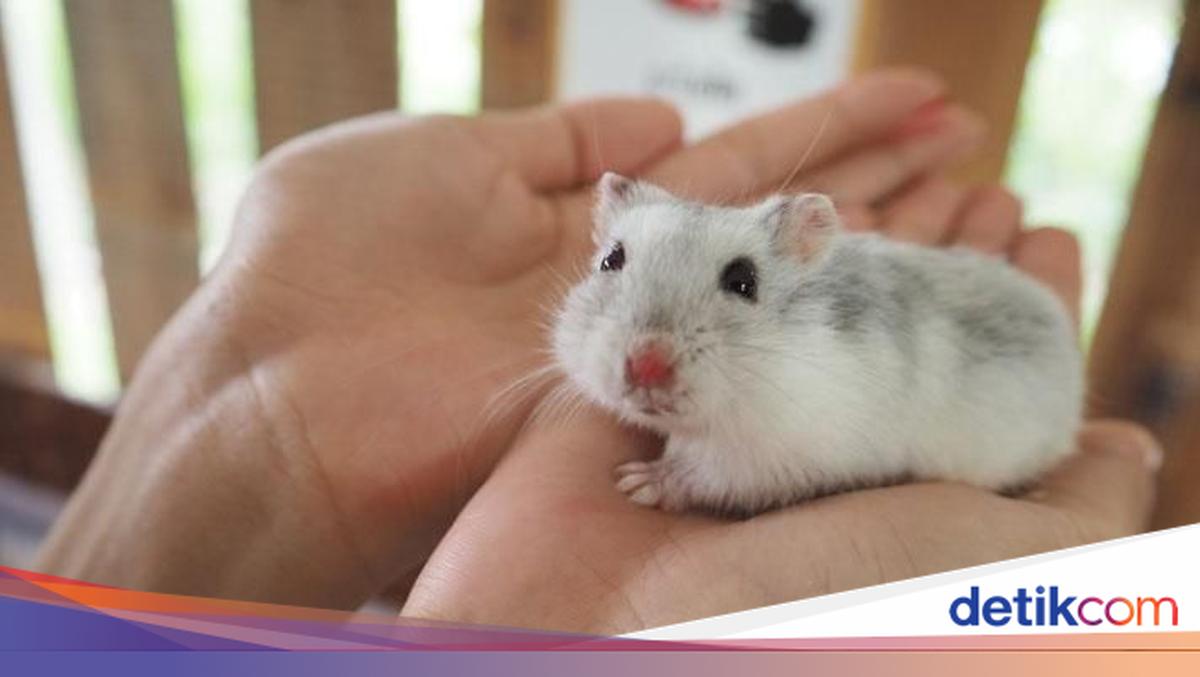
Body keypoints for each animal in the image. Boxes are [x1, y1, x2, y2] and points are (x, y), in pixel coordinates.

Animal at [551, 173, 1084, 515]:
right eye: (612, 260)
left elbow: (705, 472)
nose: (646, 365)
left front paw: (637, 483)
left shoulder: (782, 455)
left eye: (744, 281)